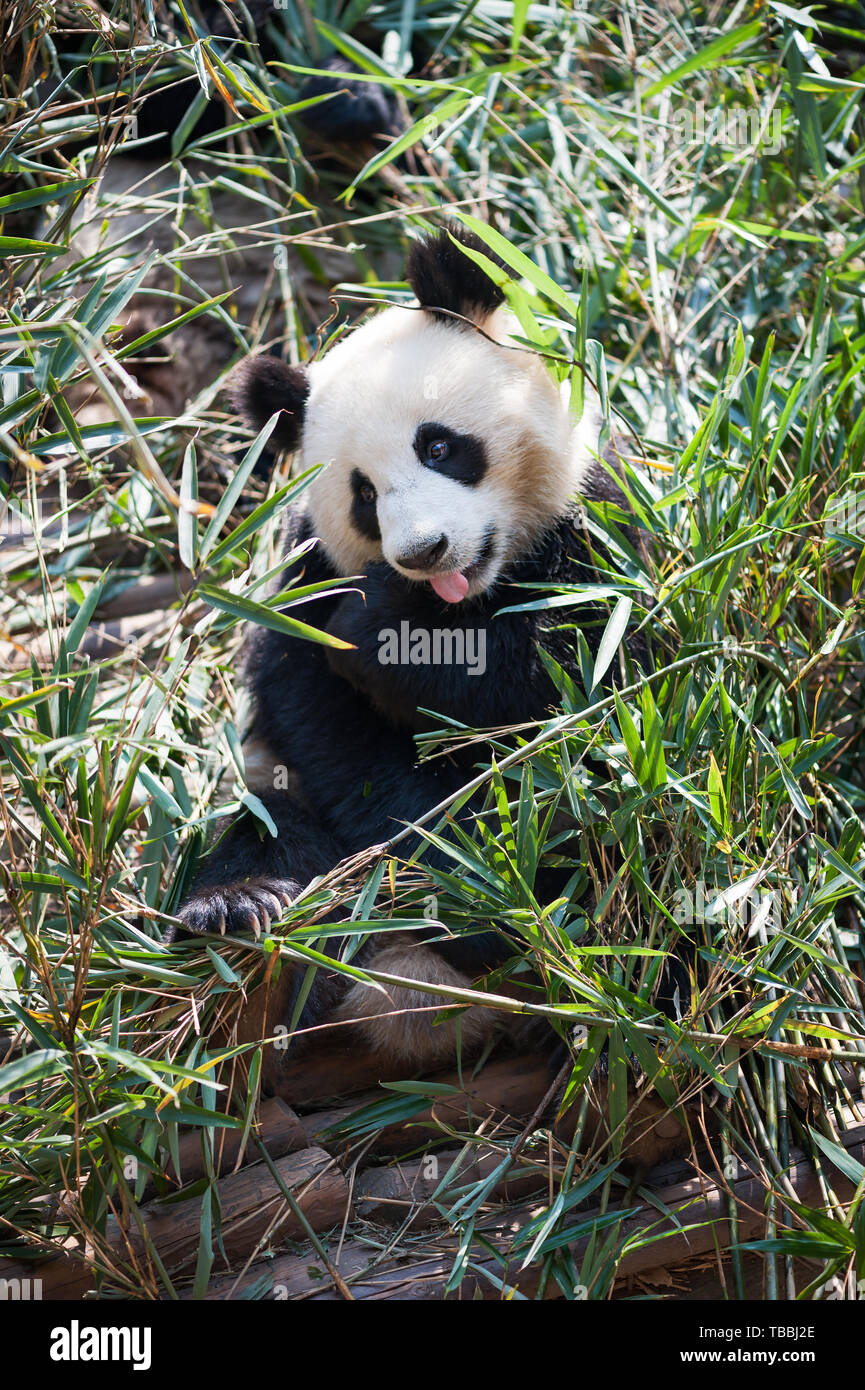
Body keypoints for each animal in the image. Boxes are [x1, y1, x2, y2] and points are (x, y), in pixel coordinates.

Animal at [172, 222, 646, 1069]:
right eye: (362, 494)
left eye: (438, 446)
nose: (423, 550)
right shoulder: (306, 579)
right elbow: (324, 720)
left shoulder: (597, 528)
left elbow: (567, 671)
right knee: (267, 823)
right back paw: (242, 907)